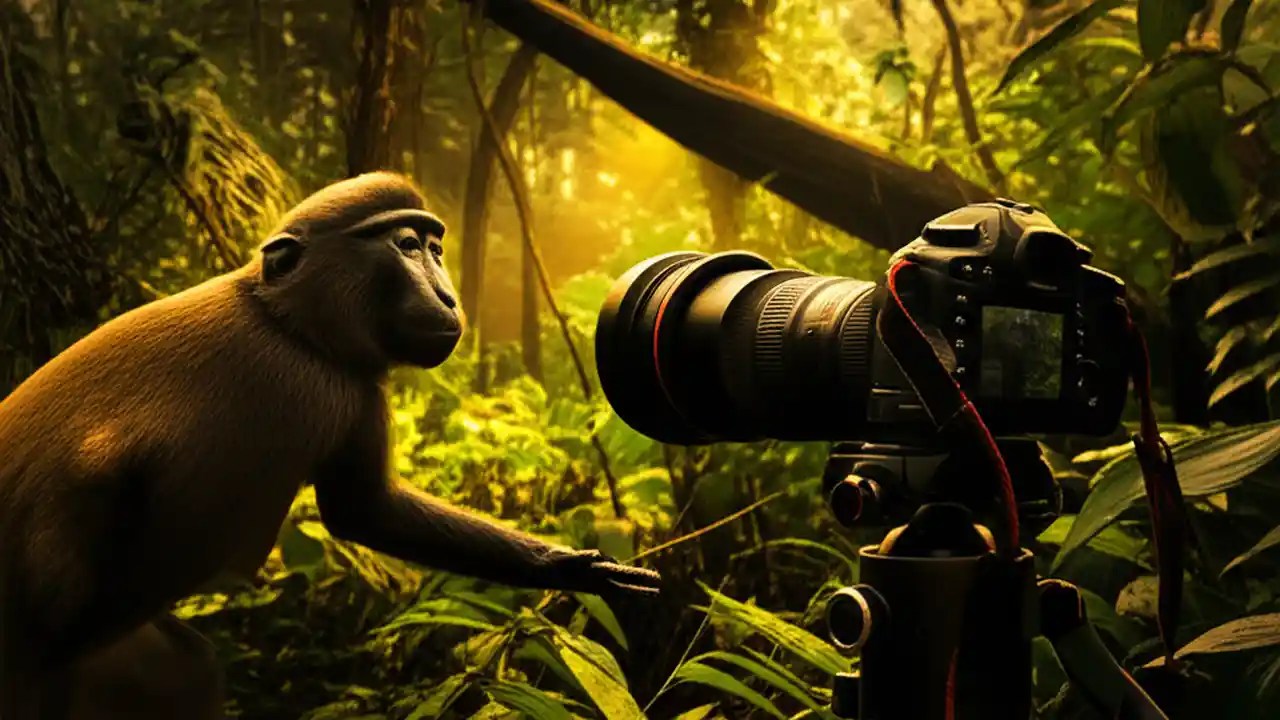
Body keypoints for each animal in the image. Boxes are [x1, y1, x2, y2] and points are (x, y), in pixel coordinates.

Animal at [0, 172, 661, 719]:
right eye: (406, 246)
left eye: (435, 249)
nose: (449, 297)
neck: (287, 330)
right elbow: (90, 470)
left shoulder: (355, 387)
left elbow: (365, 510)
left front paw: (574, 567)